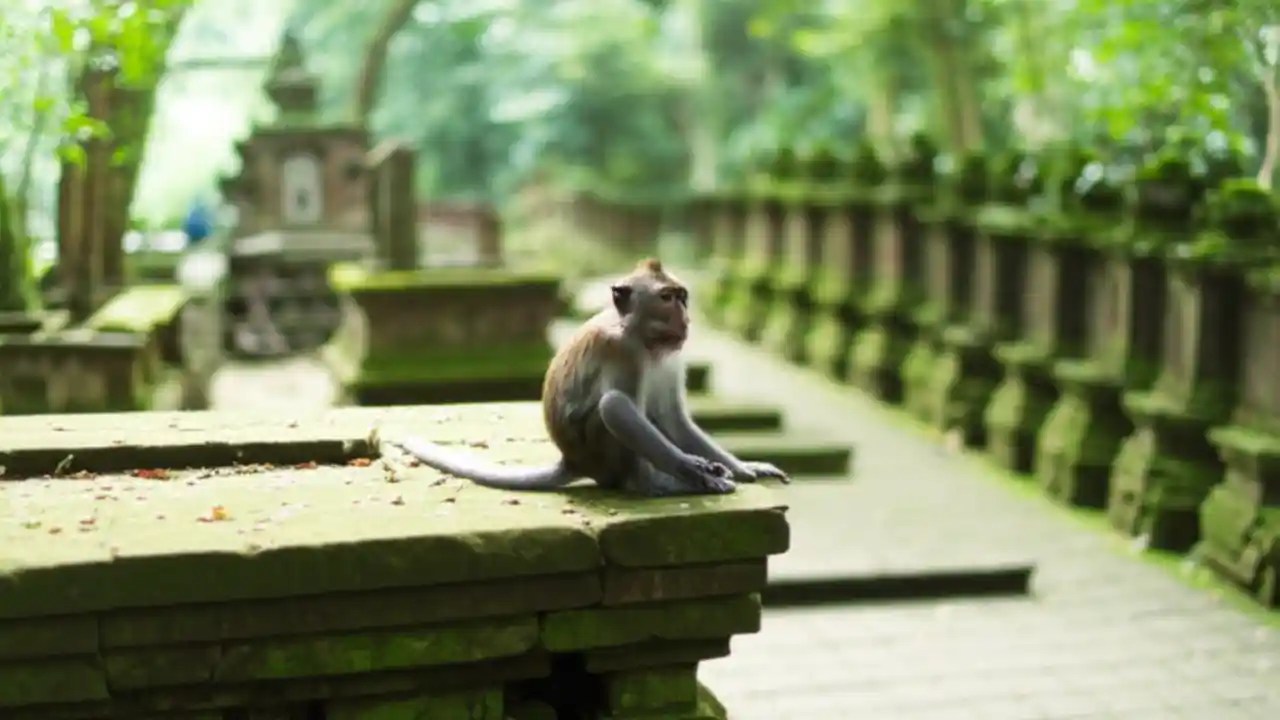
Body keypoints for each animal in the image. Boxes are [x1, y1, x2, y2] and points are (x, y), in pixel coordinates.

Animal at [382, 258, 790, 497]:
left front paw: (744, 467)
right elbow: (615, 409)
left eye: (682, 296)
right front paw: (692, 470)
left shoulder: (674, 357)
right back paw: (654, 484)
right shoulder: (623, 351)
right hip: (599, 452)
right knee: (614, 407)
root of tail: (573, 461)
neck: (645, 339)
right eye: (666, 298)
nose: (686, 316)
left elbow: (673, 418)